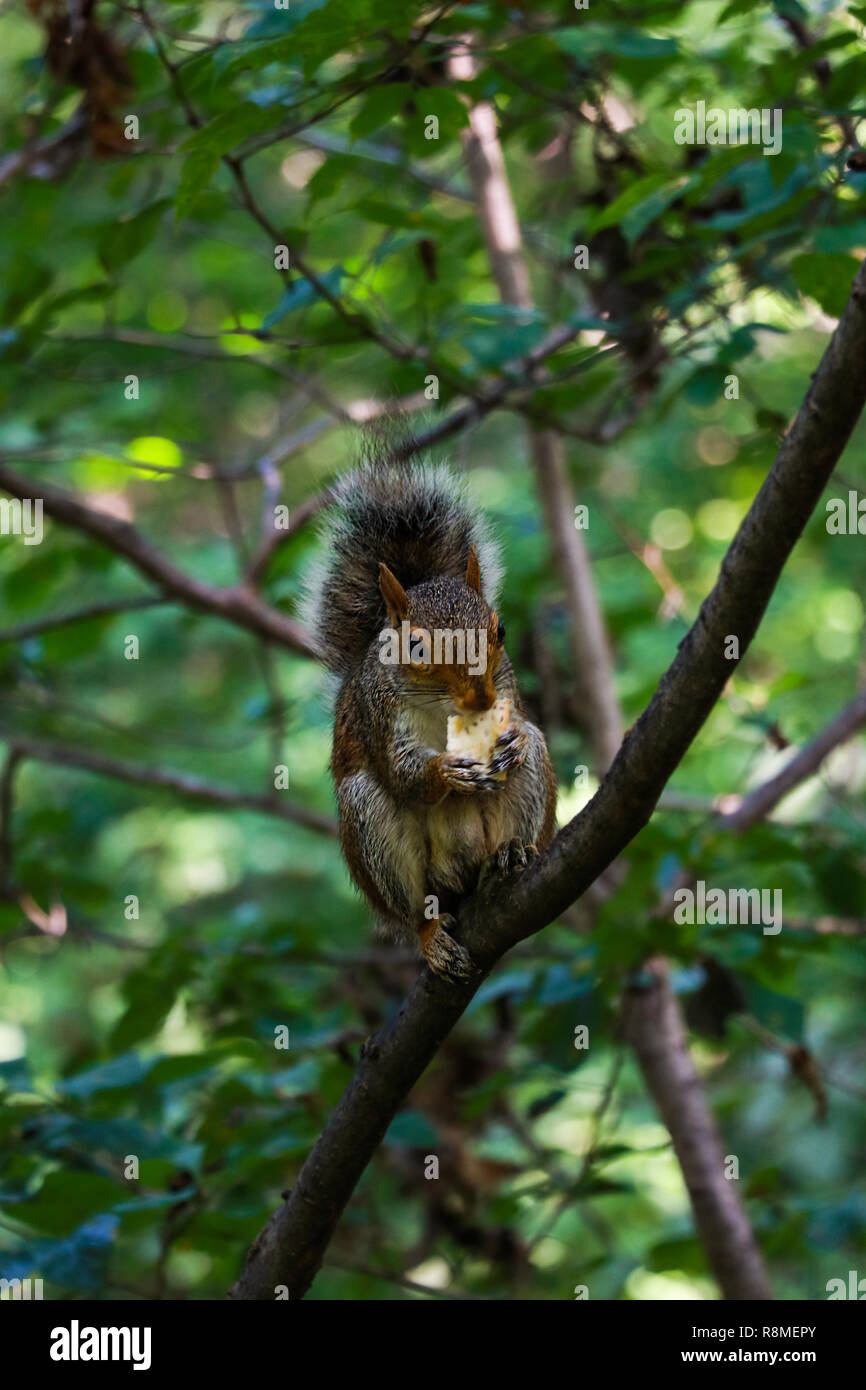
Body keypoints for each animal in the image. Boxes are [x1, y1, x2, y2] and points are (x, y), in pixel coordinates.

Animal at [305, 456, 557, 981]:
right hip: (372, 828)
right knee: (416, 909)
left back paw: (509, 852)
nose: (480, 700)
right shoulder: (378, 718)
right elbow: (404, 774)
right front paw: (446, 772)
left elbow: (521, 723)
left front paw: (514, 740)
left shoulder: (508, 689)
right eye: (418, 648)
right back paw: (431, 936)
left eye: (500, 629)